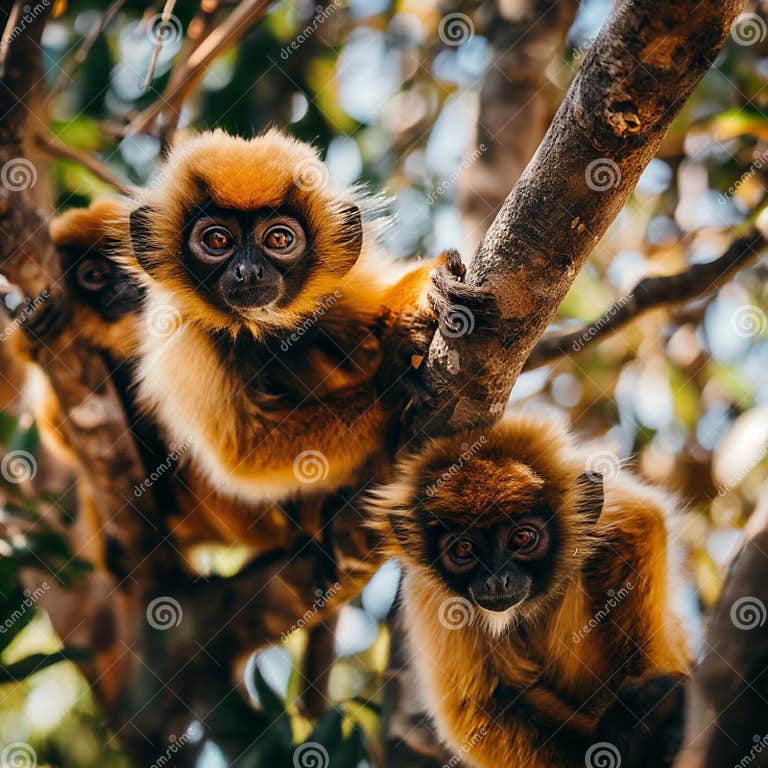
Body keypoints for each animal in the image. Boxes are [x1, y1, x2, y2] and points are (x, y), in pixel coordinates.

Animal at [119, 128, 496, 510]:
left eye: (278, 238)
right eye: (218, 240)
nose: (248, 272)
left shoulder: (337, 289)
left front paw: (425, 295)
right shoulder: (187, 337)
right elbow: (247, 453)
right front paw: (390, 384)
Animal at [367, 410, 690, 768]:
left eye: (522, 538)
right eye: (463, 548)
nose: (497, 580)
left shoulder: (625, 524)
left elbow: (642, 519)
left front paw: (649, 720)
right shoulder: (431, 596)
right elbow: (486, 703)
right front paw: (628, 735)